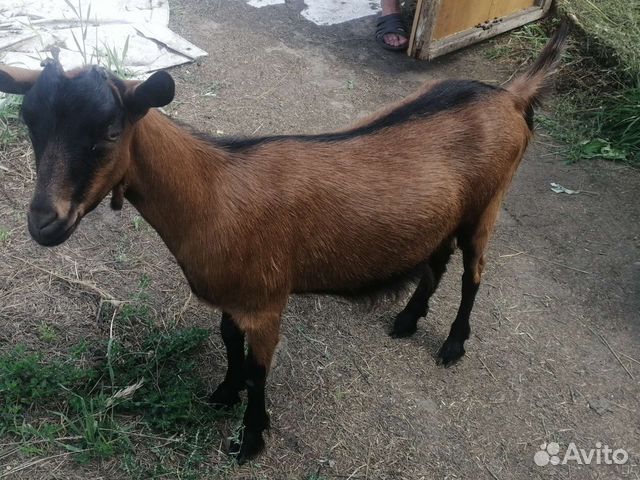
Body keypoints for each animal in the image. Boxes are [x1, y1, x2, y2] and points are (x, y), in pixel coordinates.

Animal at [0, 23, 568, 462]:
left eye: (110, 131)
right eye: (30, 122)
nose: (44, 223)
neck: (212, 193)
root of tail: (510, 95)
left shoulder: (267, 300)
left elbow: (258, 372)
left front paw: (249, 441)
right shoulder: (235, 297)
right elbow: (229, 344)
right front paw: (222, 393)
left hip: (486, 206)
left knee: (474, 272)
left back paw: (452, 345)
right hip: (446, 215)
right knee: (438, 260)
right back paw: (408, 319)